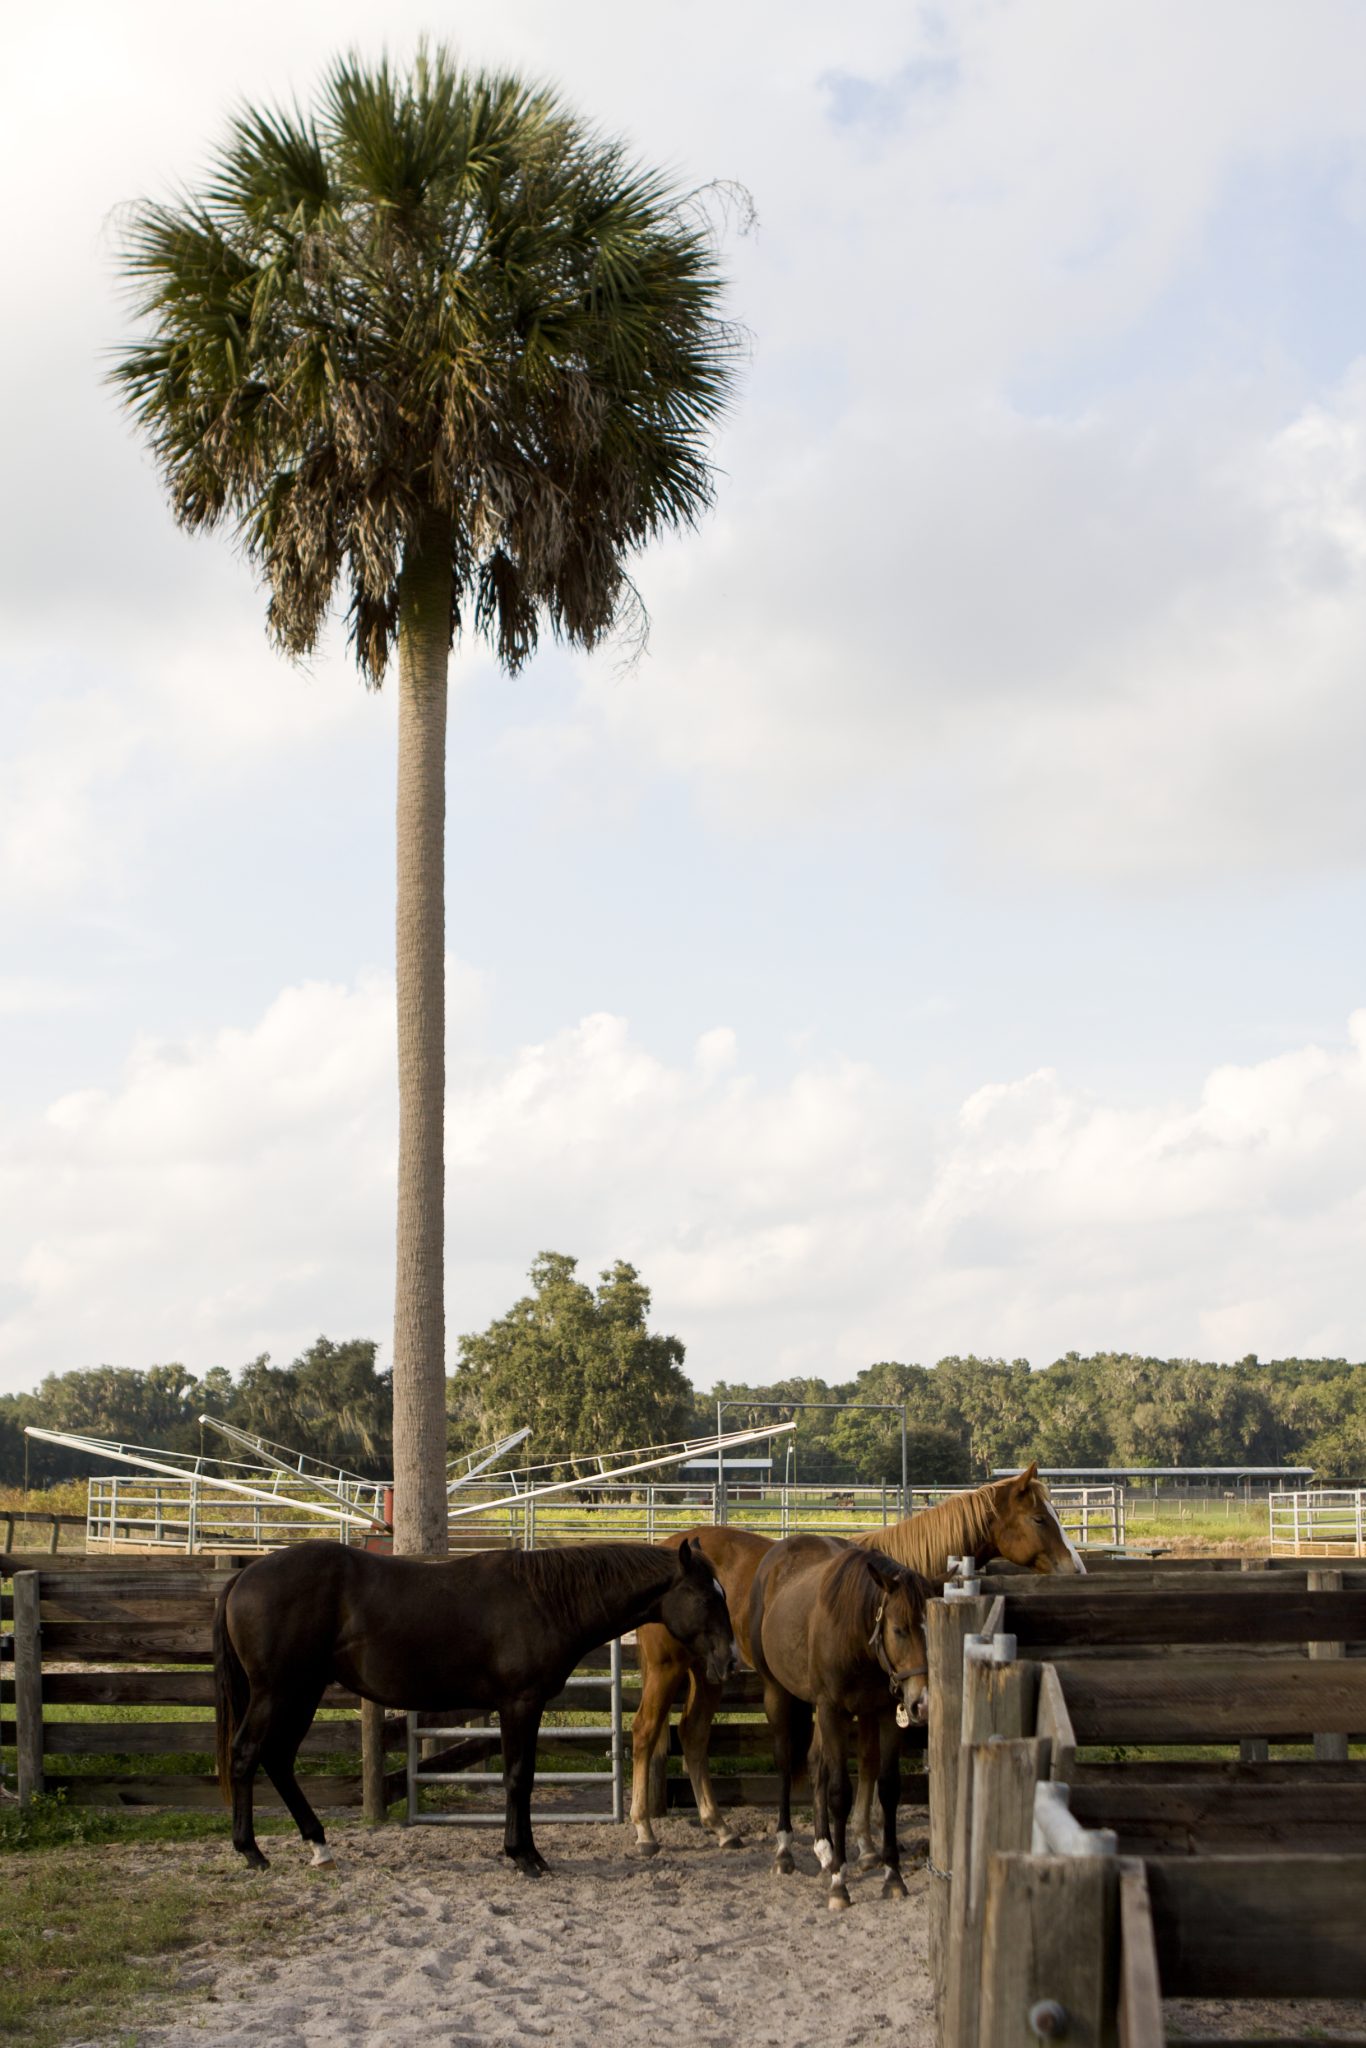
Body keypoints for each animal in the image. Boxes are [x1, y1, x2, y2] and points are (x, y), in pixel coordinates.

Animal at [214, 1535, 735, 1877]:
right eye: (704, 1597)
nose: (729, 1660)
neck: (546, 1600)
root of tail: (244, 1575)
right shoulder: (520, 1704)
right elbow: (518, 1778)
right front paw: (524, 1856)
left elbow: (519, 1778)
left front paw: (523, 1851)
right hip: (277, 1693)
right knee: (246, 1756)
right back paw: (251, 1851)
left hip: (301, 1693)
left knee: (278, 1760)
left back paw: (319, 1846)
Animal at [628, 1462, 1081, 1856]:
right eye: (1039, 1519)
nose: (1075, 1568)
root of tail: (663, 1549)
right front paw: (857, 1836)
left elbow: (863, 1760)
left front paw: (860, 1836)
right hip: (667, 1669)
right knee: (645, 1732)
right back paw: (644, 1830)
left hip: (707, 1672)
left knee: (693, 1734)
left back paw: (718, 1826)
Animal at [749, 1535, 931, 1910]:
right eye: (899, 1630)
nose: (921, 1703)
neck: (855, 1634)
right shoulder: (833, 1711)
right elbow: (839, 1793)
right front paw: (839, 1884)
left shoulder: (885, 1713)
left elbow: (887, 1788)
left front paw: (893, 1875)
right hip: (778, 1694)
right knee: (786, 1764)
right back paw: (785, 1851)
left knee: (815, 1763)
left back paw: (825, 1849)